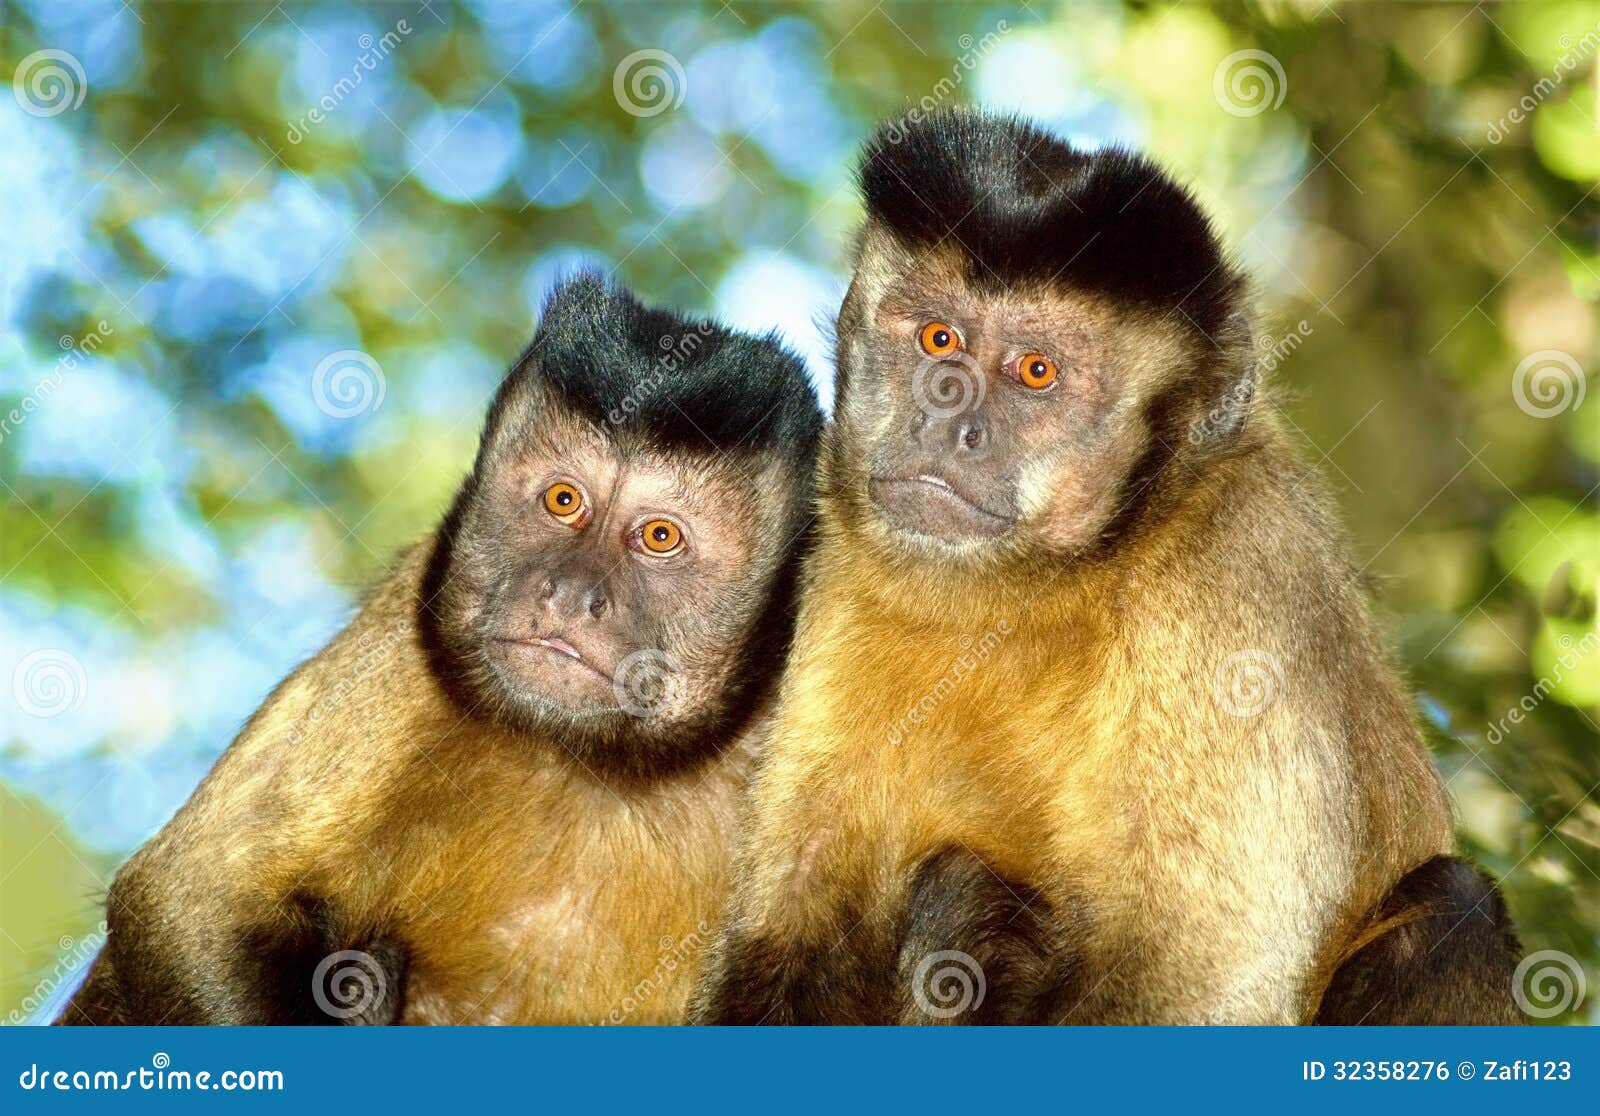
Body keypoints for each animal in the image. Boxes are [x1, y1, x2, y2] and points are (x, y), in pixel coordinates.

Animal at [56, 274, 824, 1025]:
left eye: (660, 537)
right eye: (564, 500)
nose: (570, 592)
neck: (588, 756)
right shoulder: (409, 622)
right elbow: (185, 908)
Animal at [689, 109, 1522, 1026]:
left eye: (1036, 371)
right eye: (940, 338)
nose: (948, 417)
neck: (1037, 590)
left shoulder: (1237, 564)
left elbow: (1186, 980)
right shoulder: (840, 560)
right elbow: (793, 930)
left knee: (1455, 907)